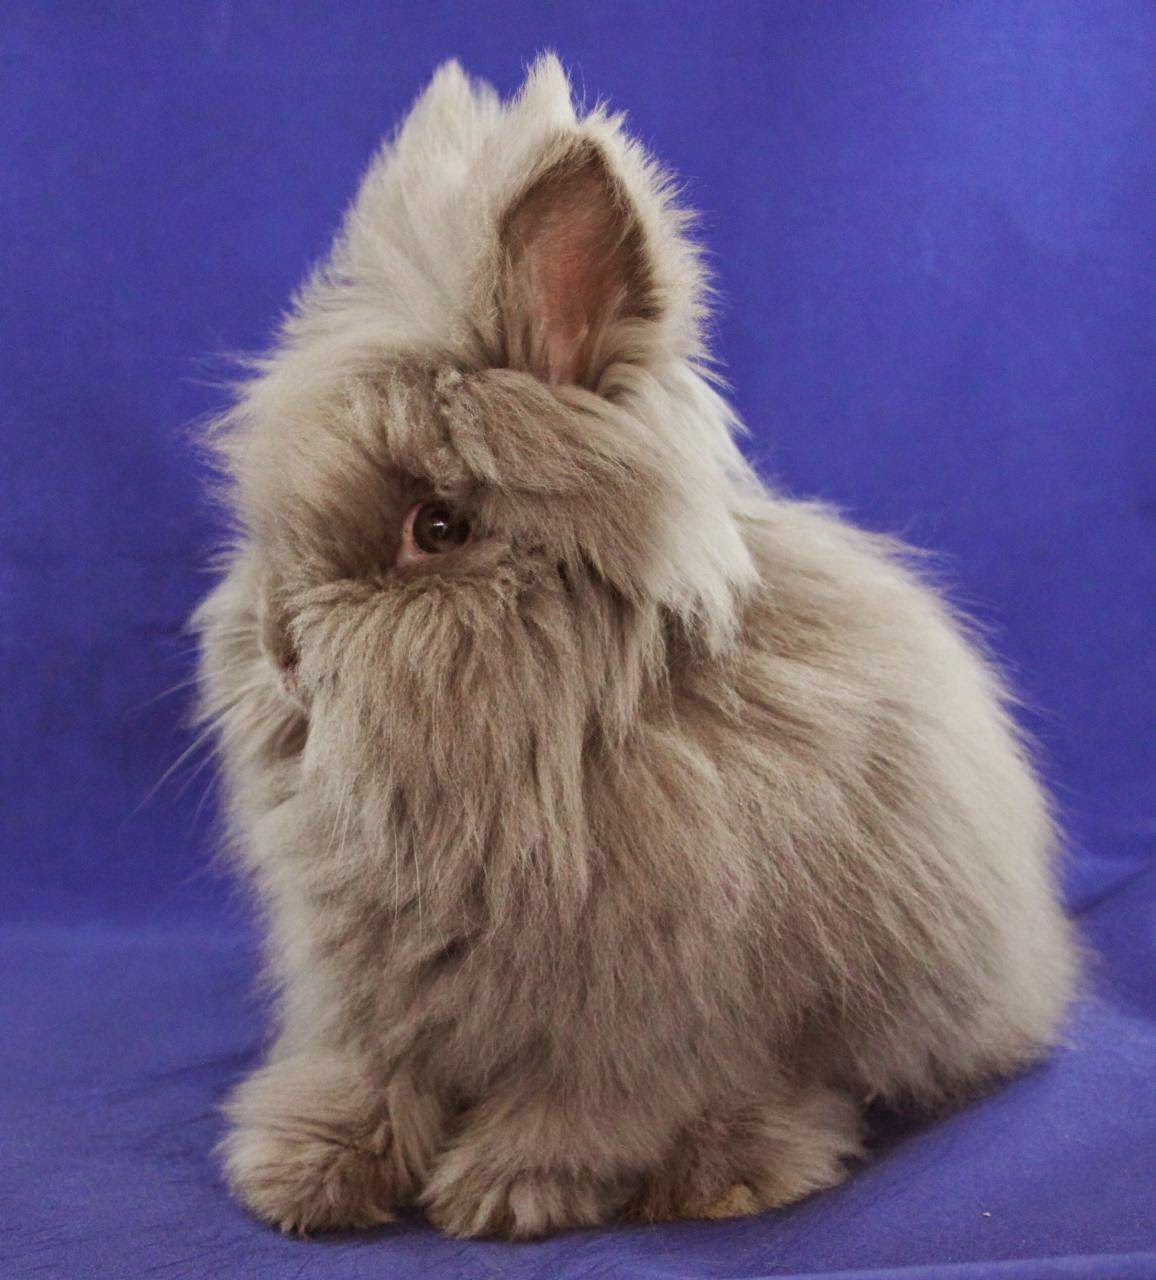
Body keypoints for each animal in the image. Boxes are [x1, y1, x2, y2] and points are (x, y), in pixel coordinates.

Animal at [194, 55, 1077, 1240]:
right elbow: (371, 1076)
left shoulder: (644, 1017)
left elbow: (592, 1104)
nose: (281, 647)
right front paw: (305, 1173)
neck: (550, 746)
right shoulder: (373, 999)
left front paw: (508, 1190)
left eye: (438, 526)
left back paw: (731, 1172)